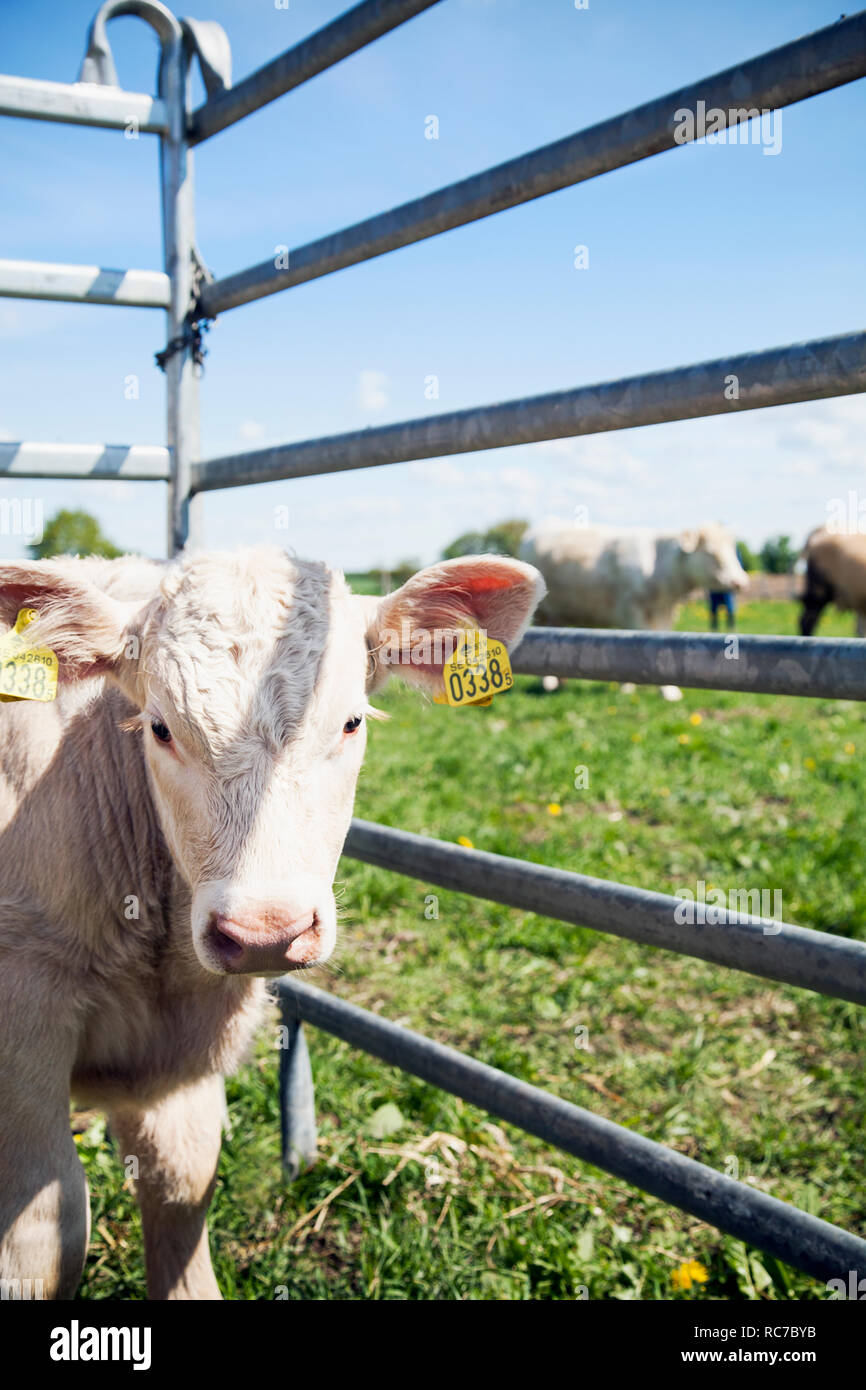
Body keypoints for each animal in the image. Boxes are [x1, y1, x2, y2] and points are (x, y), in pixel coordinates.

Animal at [0, 546, 544, 1300]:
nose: (265, 932)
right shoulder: (25, 1019)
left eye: (351, 723)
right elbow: (41, 1242)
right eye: (161, 727)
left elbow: (183, 1183)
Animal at [519, 522, 749, 700]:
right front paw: (633, 688)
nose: (741, 582)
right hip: (542, 613)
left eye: (733, 552)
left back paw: (561, 681)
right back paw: (549, 683)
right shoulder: (634, 612)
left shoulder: (664, 614)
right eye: (711, 553)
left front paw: (670, 691)